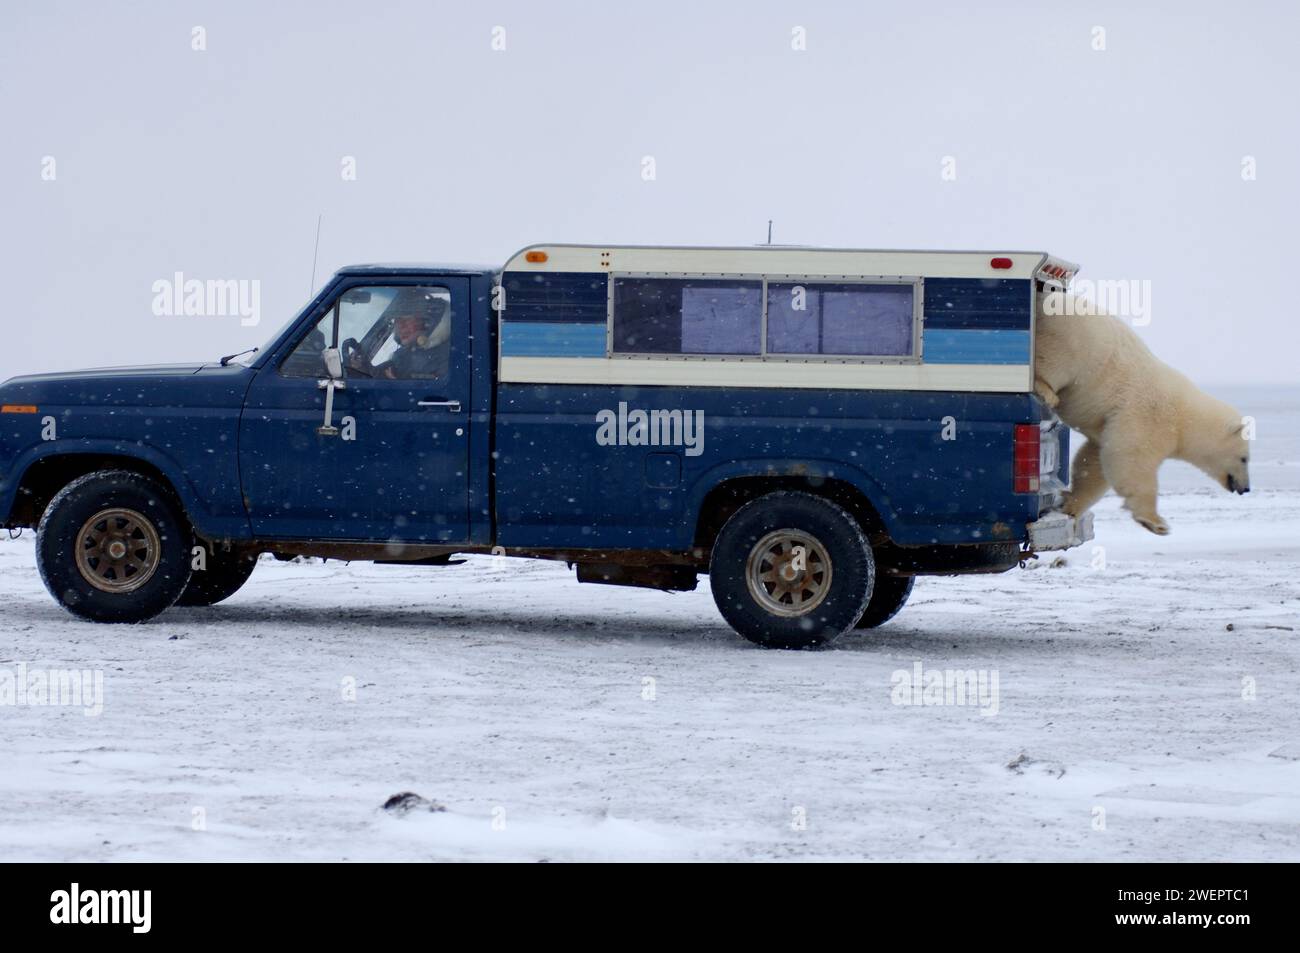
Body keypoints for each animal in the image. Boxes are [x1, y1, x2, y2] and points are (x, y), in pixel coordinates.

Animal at [1033, 291, 1251, 535]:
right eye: (1244, 458)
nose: (1246, 488)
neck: (1186, 418)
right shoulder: (1150, 415)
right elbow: (1131, 458)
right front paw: (1156, 522)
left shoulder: (1110, 426)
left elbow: (1096, 461)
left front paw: (1071, 505)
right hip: (1073, 342)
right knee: (1052, 361)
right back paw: (1046, 391)